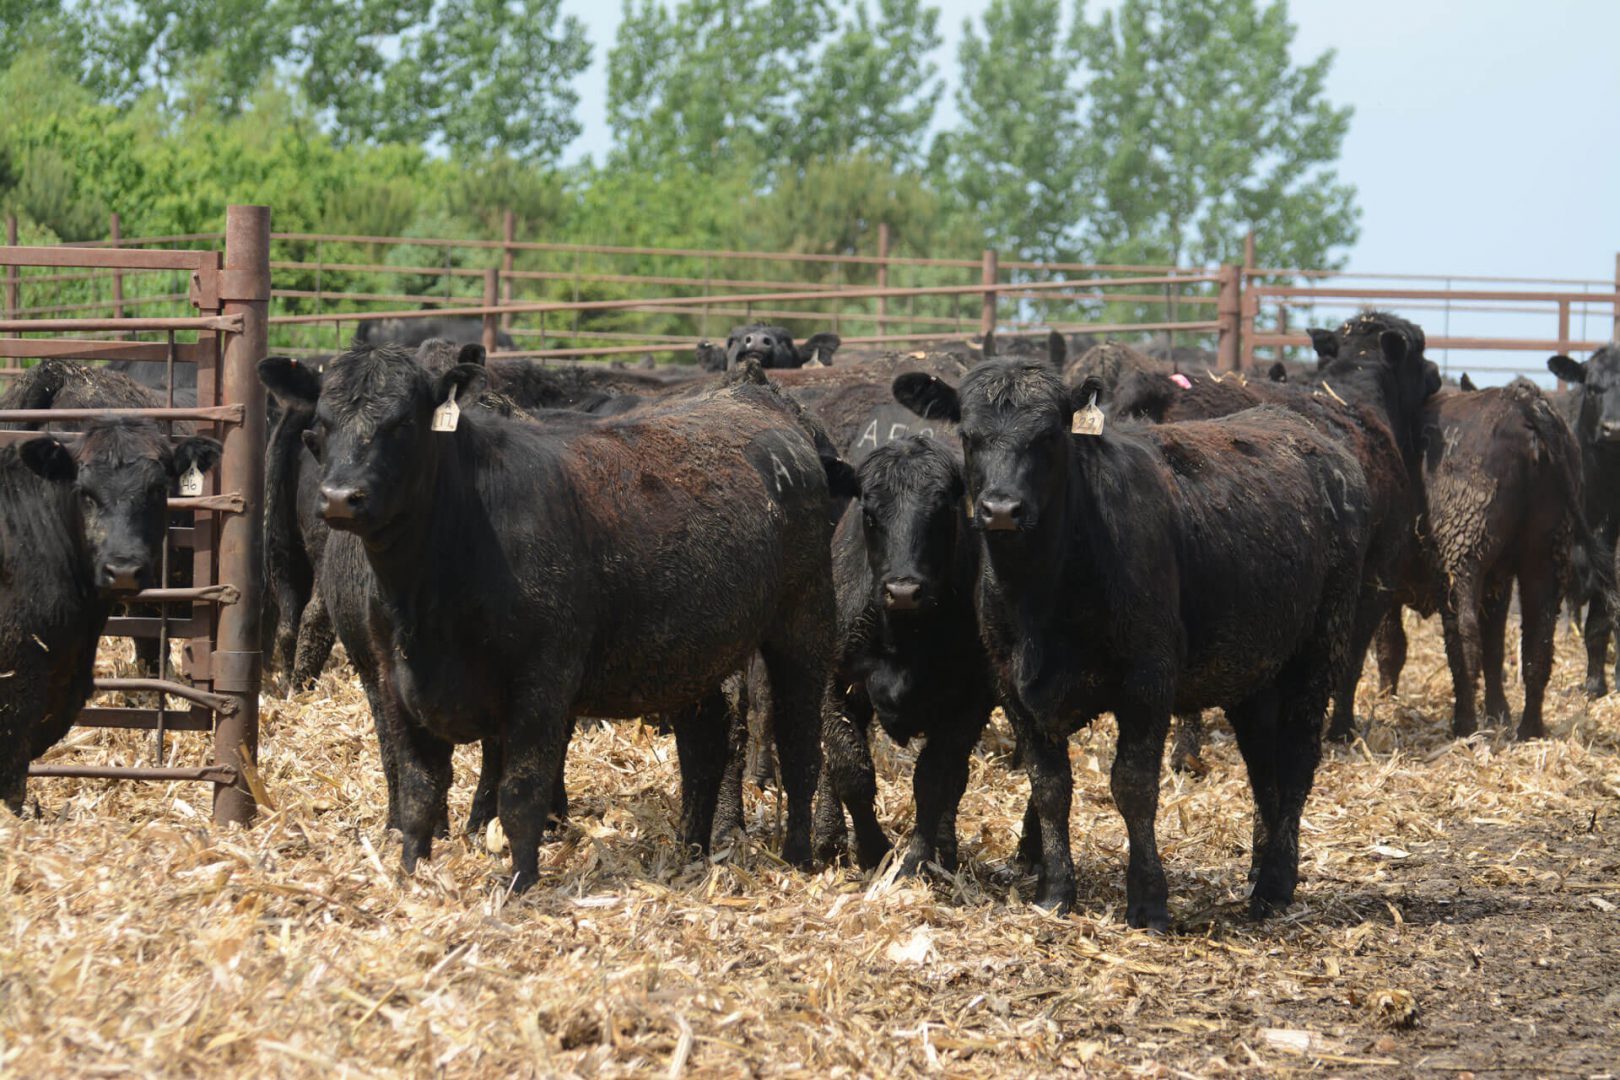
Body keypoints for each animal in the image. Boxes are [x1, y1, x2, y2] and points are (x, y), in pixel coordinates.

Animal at [260, 344, 842, 889]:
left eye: (402, 422)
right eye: (320, 427)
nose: (341, 498)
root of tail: (755, 394)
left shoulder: (541, 682)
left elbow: (520, 793)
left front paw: (521, 884)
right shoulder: (394, 679)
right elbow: (418, 791)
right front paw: (411, 874)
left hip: (804, 622)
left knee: (799, 741)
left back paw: (798, 855)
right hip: (693, 651)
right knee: (705, 740)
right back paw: (690, 851)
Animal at [811, 436, 997, 875]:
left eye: (943, 510)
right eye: (870, 512)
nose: (903, 590)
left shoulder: (972, 699)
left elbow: (935, 779)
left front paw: (917, 857)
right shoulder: (835, 680)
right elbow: (848, 766)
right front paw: (872, 850)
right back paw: (828, 838)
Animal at [893, 359, 1372, 930]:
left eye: (1050, 434)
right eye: (968, 435)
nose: (1002, 509)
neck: (1042, 594)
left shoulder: (1148, 678)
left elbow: (1133, 785)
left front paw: (1147, 899)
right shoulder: (1011, 684)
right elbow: (1049, 787)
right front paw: (1056, 891)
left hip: (1318, 650)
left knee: (1297, 758)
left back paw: (1275, 885)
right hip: (1255, 672)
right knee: (1263, 766)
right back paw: (1261, 868)